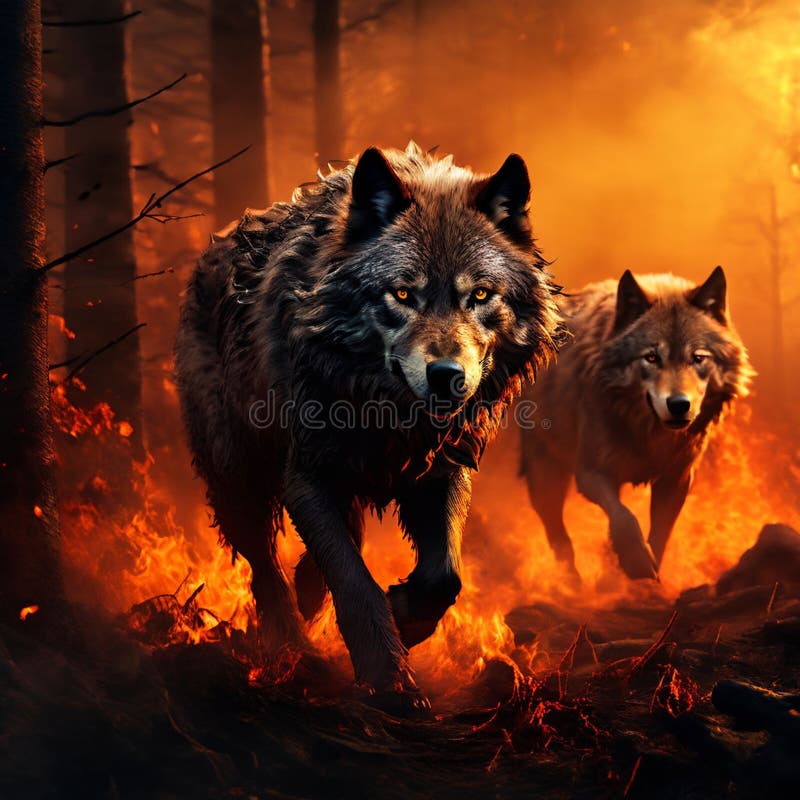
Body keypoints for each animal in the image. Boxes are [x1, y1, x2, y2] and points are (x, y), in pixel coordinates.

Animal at [174, 143, 560, 711]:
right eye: (402, 294)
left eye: (480, 295)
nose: (448, 376)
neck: (385, 415)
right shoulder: (306, 475)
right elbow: (355, 582)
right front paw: (388, 676)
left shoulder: (443, 471)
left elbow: (444, 576)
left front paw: (408, 620)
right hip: (236, 475)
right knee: (264, 565)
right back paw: (290, 643)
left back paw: (309, 591)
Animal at [519, 268, 753, 582]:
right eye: (651, 357)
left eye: (698, 358)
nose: (679, 404)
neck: (649, 435)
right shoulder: (591, 472)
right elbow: (625, 518)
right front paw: (636, 563)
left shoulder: (677, 479)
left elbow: (660, 534)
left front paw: (646, 570)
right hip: (546, 476)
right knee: (558, 537)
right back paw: (571, 583)